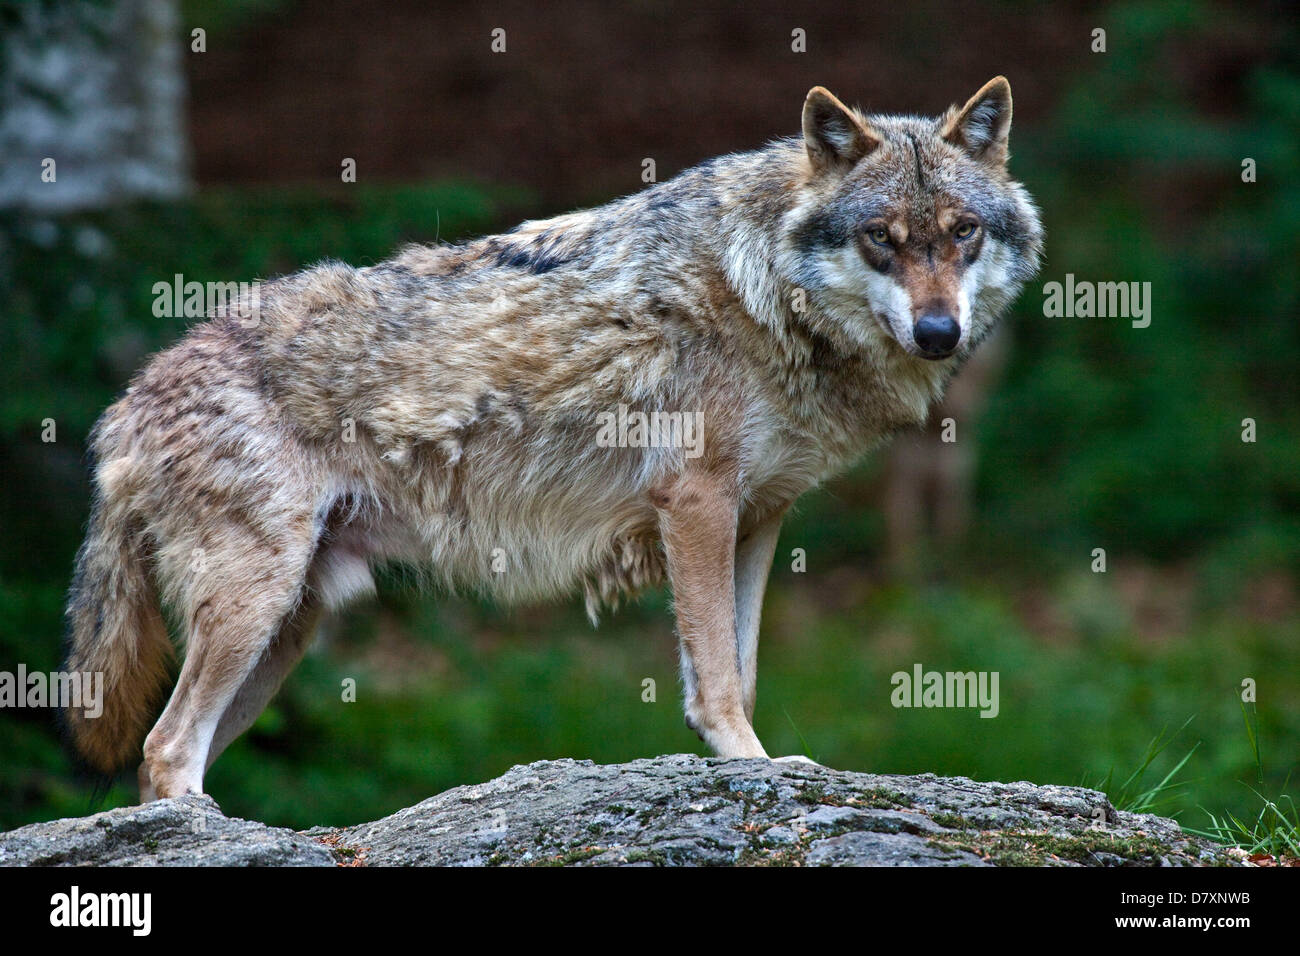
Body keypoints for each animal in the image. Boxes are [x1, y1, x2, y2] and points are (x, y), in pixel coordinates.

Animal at [63, 78, 1042, 800]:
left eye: (962, 233)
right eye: (881, 238)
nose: (939, 333)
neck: (763, 287)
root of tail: (124, 404)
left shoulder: (760, 518)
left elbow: (744, 665)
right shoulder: (696, 503)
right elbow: (720, 679)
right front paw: (752, 767)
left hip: (285, 630)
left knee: (163, 761)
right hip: (254, 607)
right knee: (163, 749)